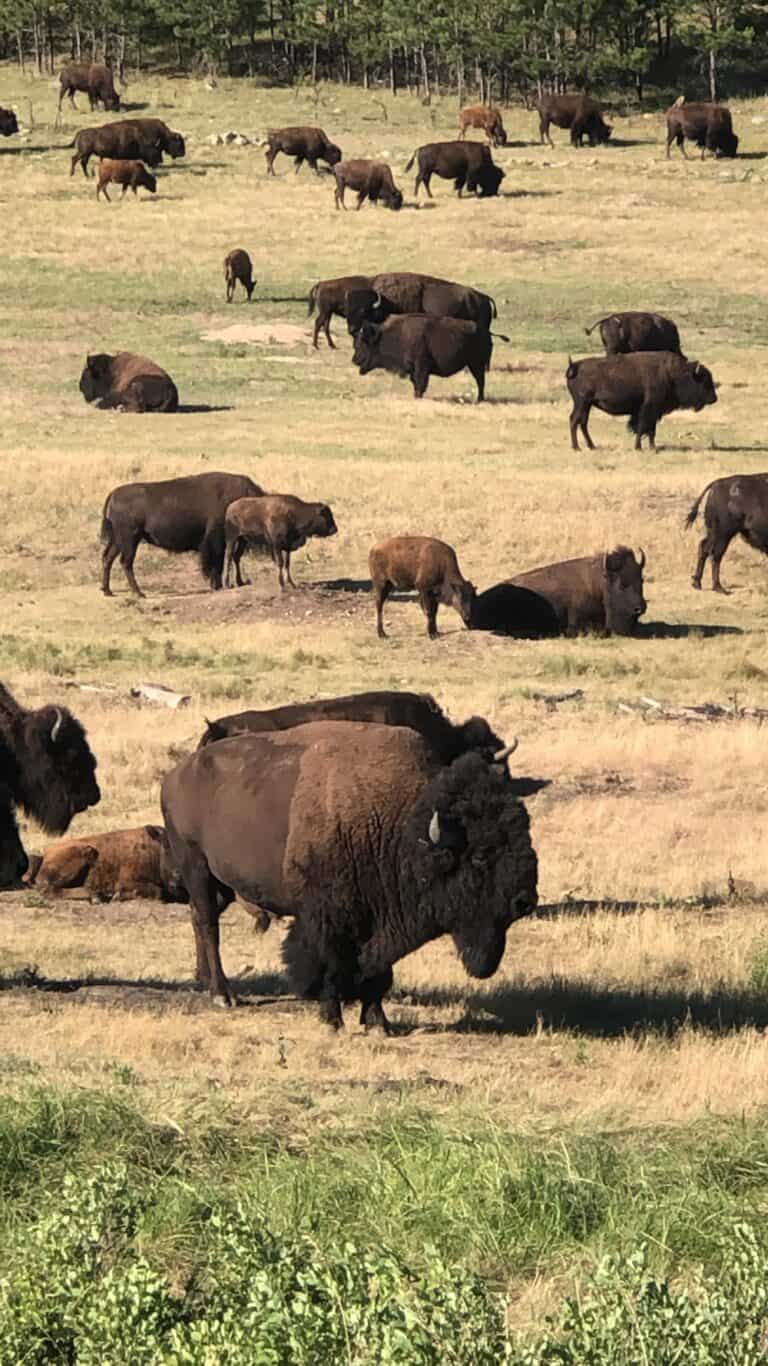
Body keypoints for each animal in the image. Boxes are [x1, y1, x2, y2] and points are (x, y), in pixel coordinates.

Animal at [100, 470, 263, 596]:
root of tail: (113, 494)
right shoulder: (215, 542)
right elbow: (217, 563)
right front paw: (217, 586)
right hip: (130, 539)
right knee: (126, 562)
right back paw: (139, 593)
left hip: (119, 540)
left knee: (108, 558)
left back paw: (108, 591)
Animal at [161, 721, 537, 1024]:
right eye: (480, 856)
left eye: (524, 833)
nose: (525, 900)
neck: (398, 823)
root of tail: (175, 776)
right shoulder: (328, 921)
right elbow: (332, 967)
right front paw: (333, 1019)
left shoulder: (380, 918)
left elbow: (377, 973)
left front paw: (378, 1022)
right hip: (197, 868)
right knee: (208, 925)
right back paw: (223, 994)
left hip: (221, 883)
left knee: (198, 919)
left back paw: (203, 980)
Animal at [353, 315, 493, 401]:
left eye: (363, 343)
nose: (354, 360)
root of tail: (486, 332)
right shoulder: (413, 369)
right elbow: (416, 383)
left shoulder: (421, 367)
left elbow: (420, 383)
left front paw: (418, 397)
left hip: (476, 365)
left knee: (480, 381)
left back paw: (479, 399)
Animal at [566, 352, 717, 451]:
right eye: (704, 381)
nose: (714, 398)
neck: (672, 374)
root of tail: (575, 365)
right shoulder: (648, 409)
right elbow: (643, 427)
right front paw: (639, 447)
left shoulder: (654, 412)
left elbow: (651, 430)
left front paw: (652, 447)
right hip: (582, 403)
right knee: (575, 421)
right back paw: (576, 447)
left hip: (587, 405)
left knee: (582, 423)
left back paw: (591, 446)